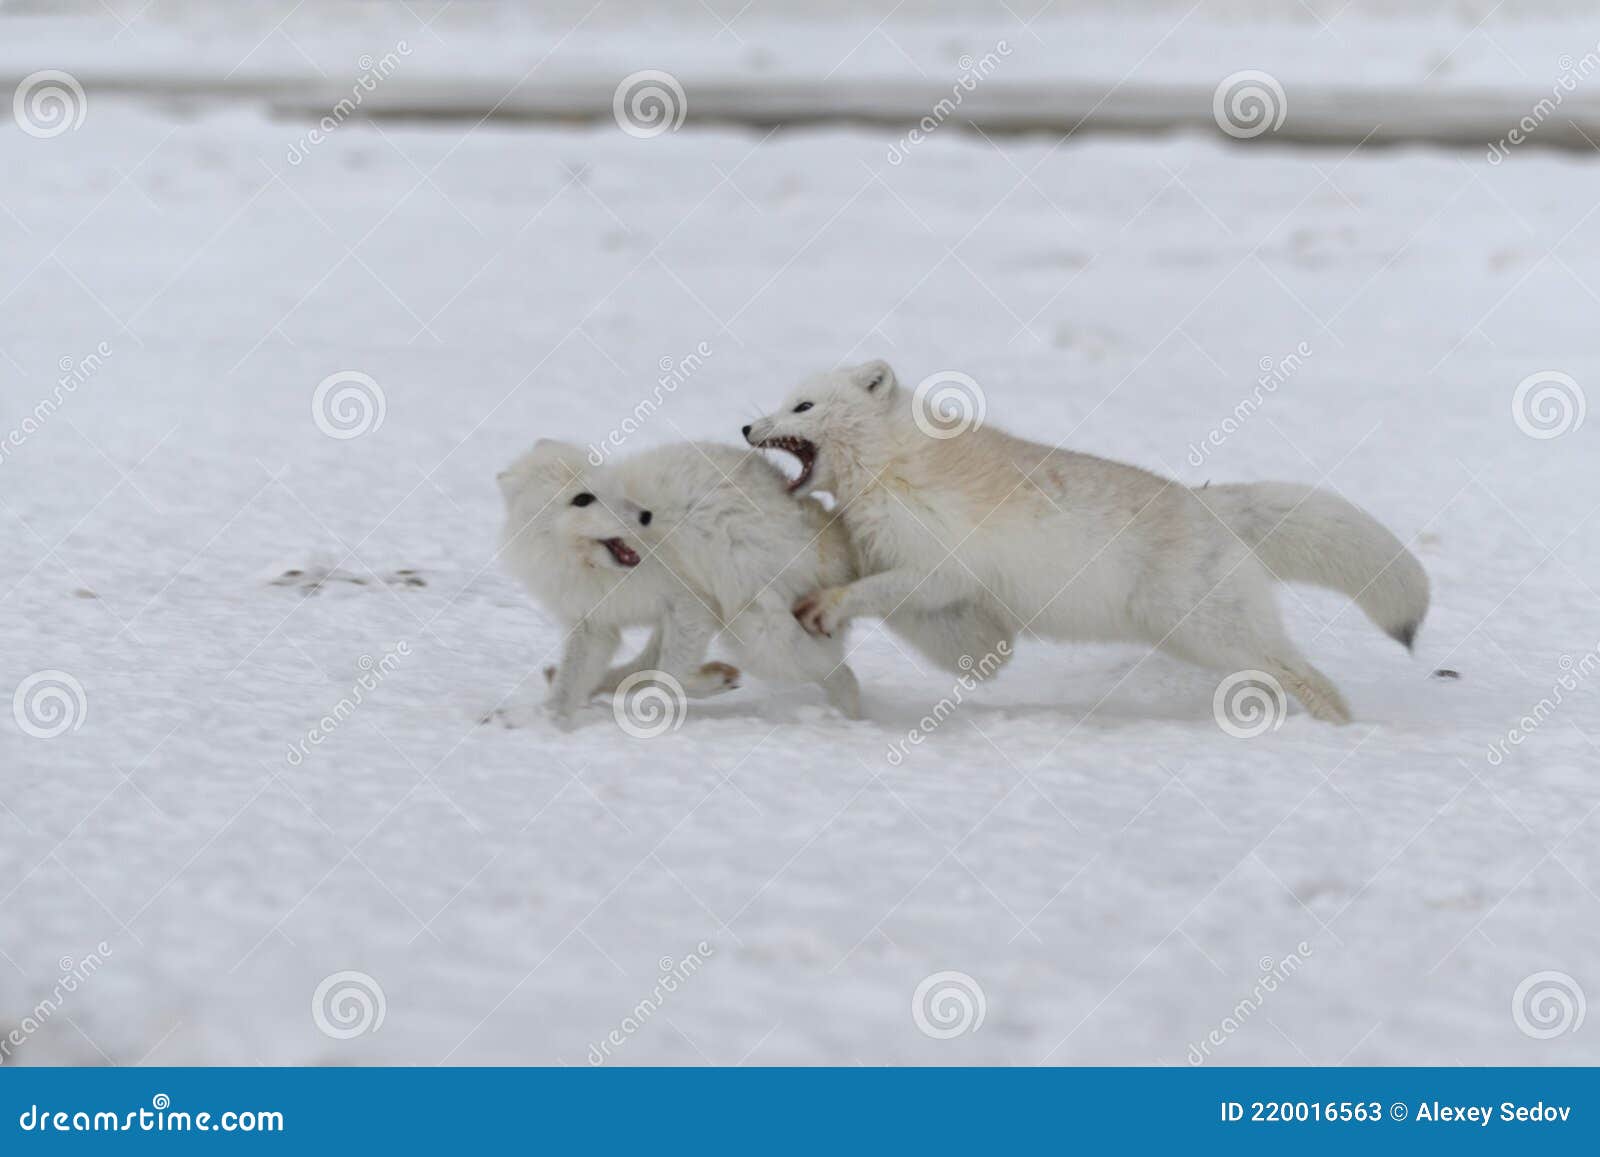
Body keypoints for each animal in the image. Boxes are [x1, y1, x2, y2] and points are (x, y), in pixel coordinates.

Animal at [497, 439, 863, 727]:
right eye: (582, 499)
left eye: (612, 489)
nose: (645, 516)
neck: (589, 567)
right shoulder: (594, 625)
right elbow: (571, 685)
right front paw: (543, 721)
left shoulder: (691, 603)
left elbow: (669, 680)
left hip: (756, 633)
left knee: (840, 671)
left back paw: (855, 716)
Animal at [742, 360, 1431, 724]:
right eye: (781, 402)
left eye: (802, 406)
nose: (747, 427)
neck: (889, 466)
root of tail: (1206, 502)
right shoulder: (950, 594)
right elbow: (956, 637)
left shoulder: (939, 565)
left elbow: (873, 591)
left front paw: (825, 607)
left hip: (1209, 628)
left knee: (1307, 675)